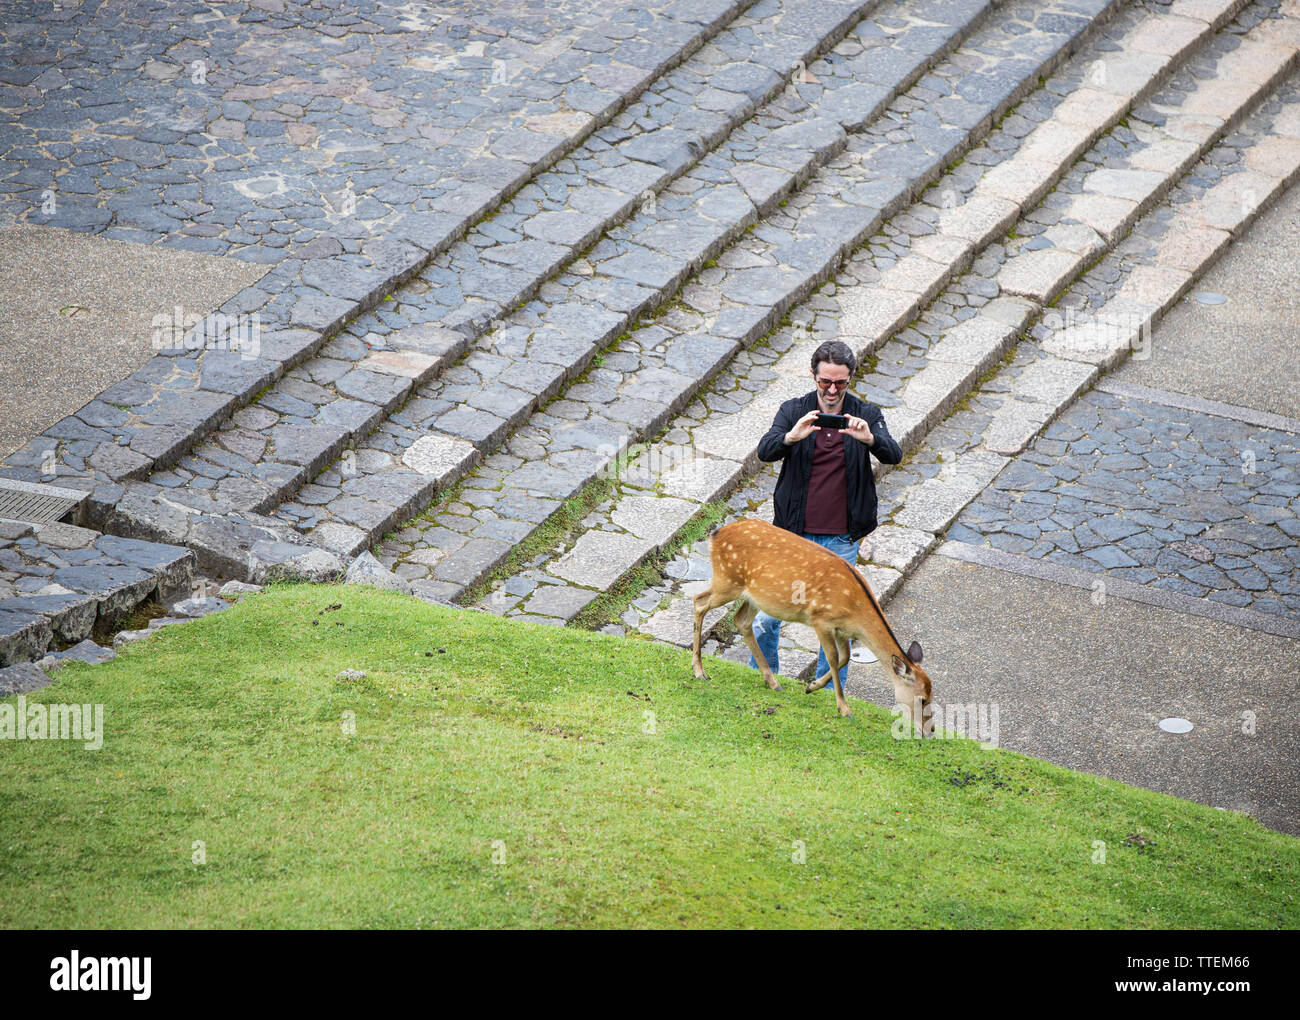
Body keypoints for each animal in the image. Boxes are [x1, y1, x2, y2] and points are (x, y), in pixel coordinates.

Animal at [691, 518, 933, 735]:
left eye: (932, 696)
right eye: (922, 700)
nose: (930, 730)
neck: (855, 612)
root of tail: (715, 535)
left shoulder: (842, 630)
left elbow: (845, 657)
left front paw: (812, 686)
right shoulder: (821, 619)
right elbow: (833, 658)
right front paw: (844, 708)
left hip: (754, 595)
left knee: (741, 620)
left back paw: (773, 681)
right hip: (727, 579)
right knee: (699, 601)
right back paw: (699, 671)